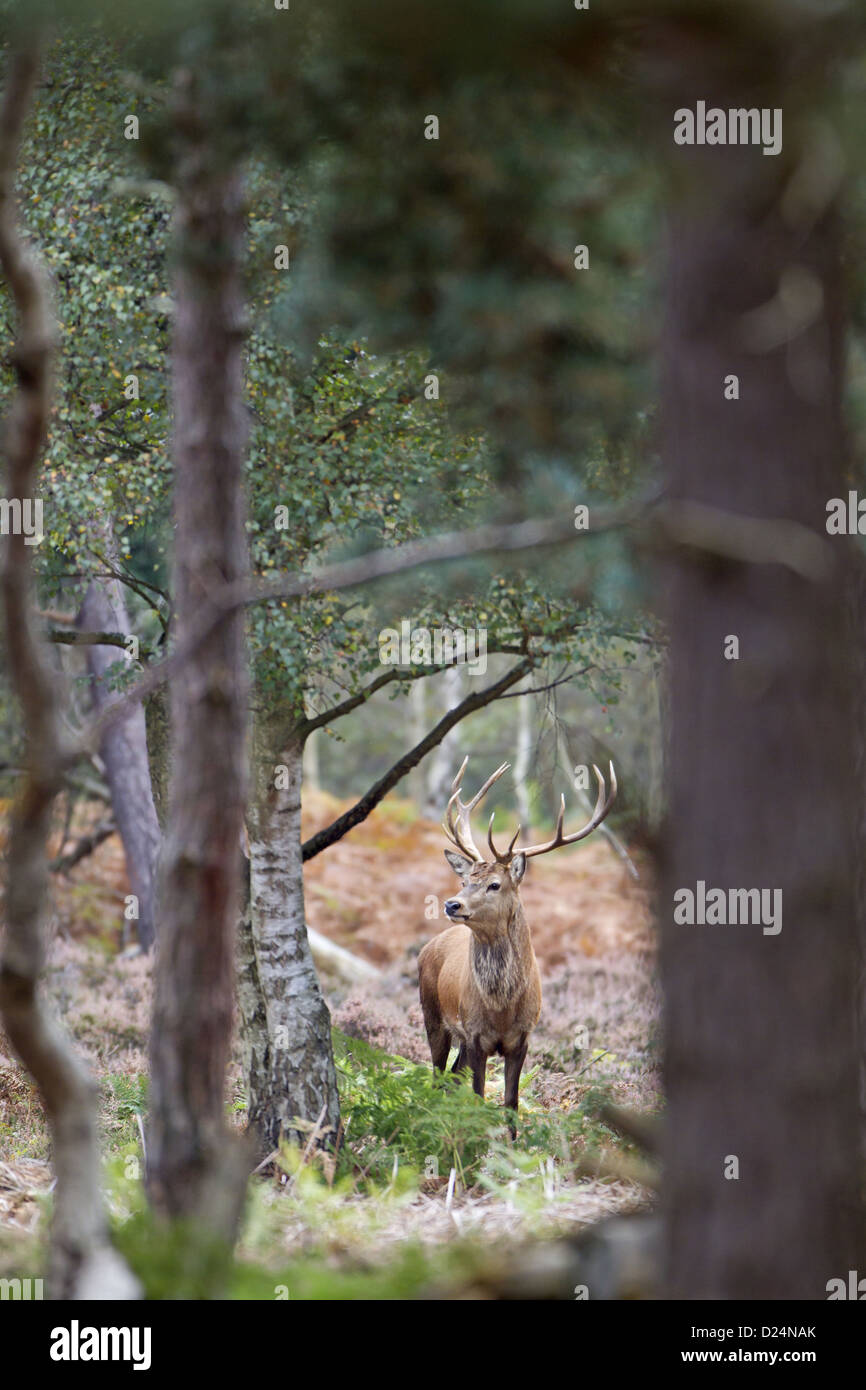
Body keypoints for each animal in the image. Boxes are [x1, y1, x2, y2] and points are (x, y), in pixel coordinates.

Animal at [418, 756, 617, 1136]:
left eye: (495, 884)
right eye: (465, 881)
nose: (451, 904)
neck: (502, 1008)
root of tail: (427, 947)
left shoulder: (523, 1037)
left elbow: (510, 1104)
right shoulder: (475, 1034)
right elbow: (478, 1098)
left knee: (451, 1076)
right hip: (433, 1015)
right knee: (437, 1076)